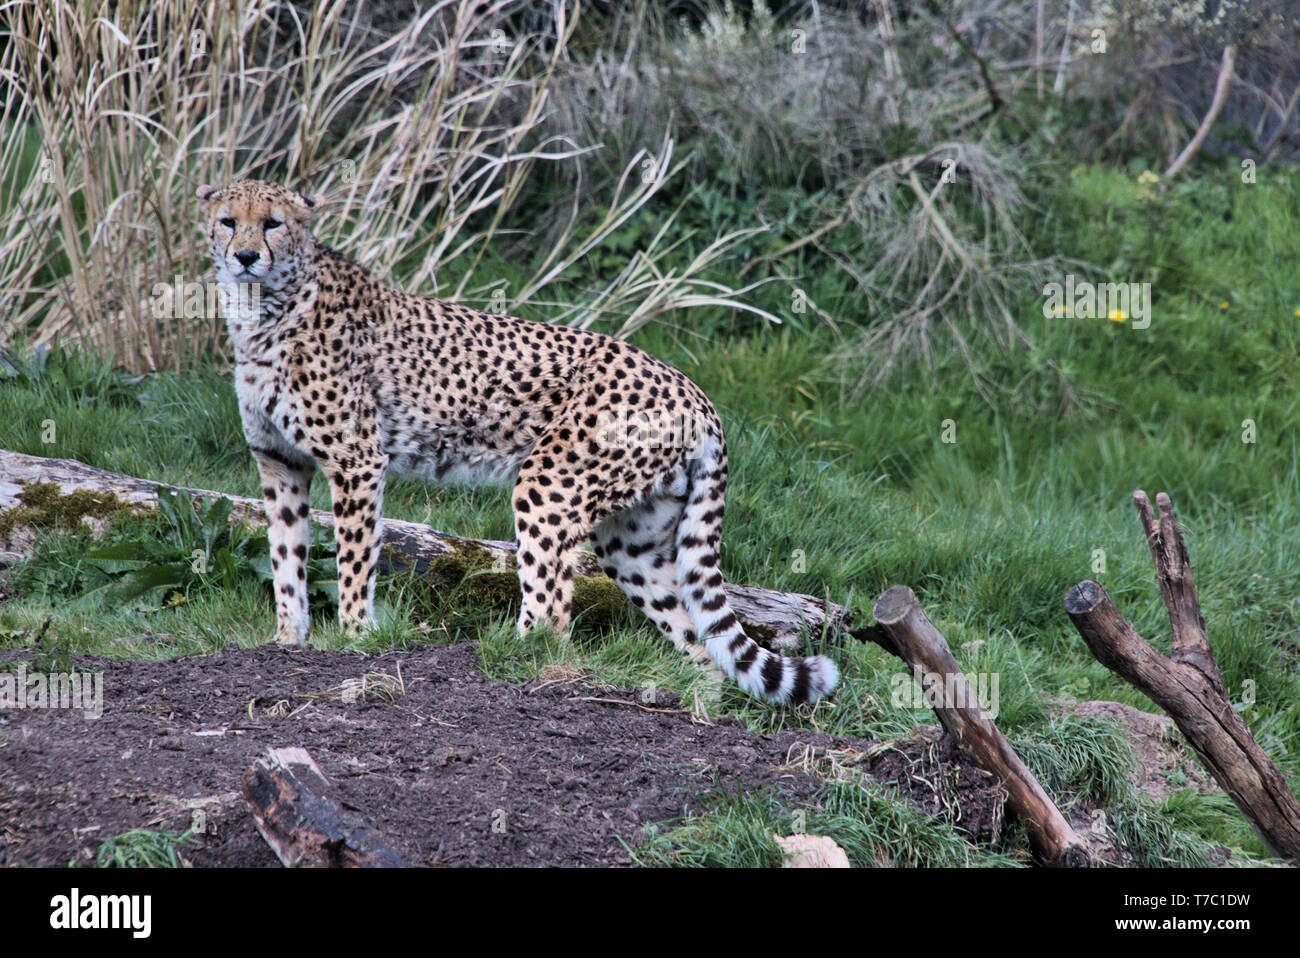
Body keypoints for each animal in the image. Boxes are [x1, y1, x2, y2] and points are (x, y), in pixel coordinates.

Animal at [197, 179, 839, 705]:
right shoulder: (281, 465)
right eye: (228, 221)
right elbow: (286, 557)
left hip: (549, 484)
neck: (264, 308)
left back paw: (505, 663)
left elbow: (354, 562)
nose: (246, 256)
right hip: (632, 539)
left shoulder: (356, 462)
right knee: (693, 636)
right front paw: (287, 639)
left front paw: (354, 640)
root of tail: (693, 389)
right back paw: (695, 695)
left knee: (554, 615)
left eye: (272, 222)